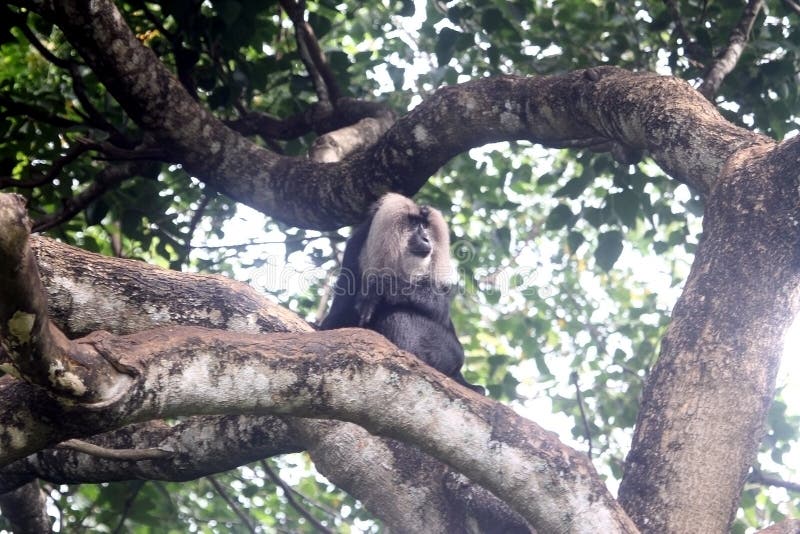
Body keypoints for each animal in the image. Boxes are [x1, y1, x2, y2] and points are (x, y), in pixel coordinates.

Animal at [320, 193, 483, 393]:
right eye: (413, 224)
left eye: (425, 226)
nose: (426, 238)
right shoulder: (355, 247)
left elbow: (440, 308)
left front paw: (380, 288)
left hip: (451, 353)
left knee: (398, 316)